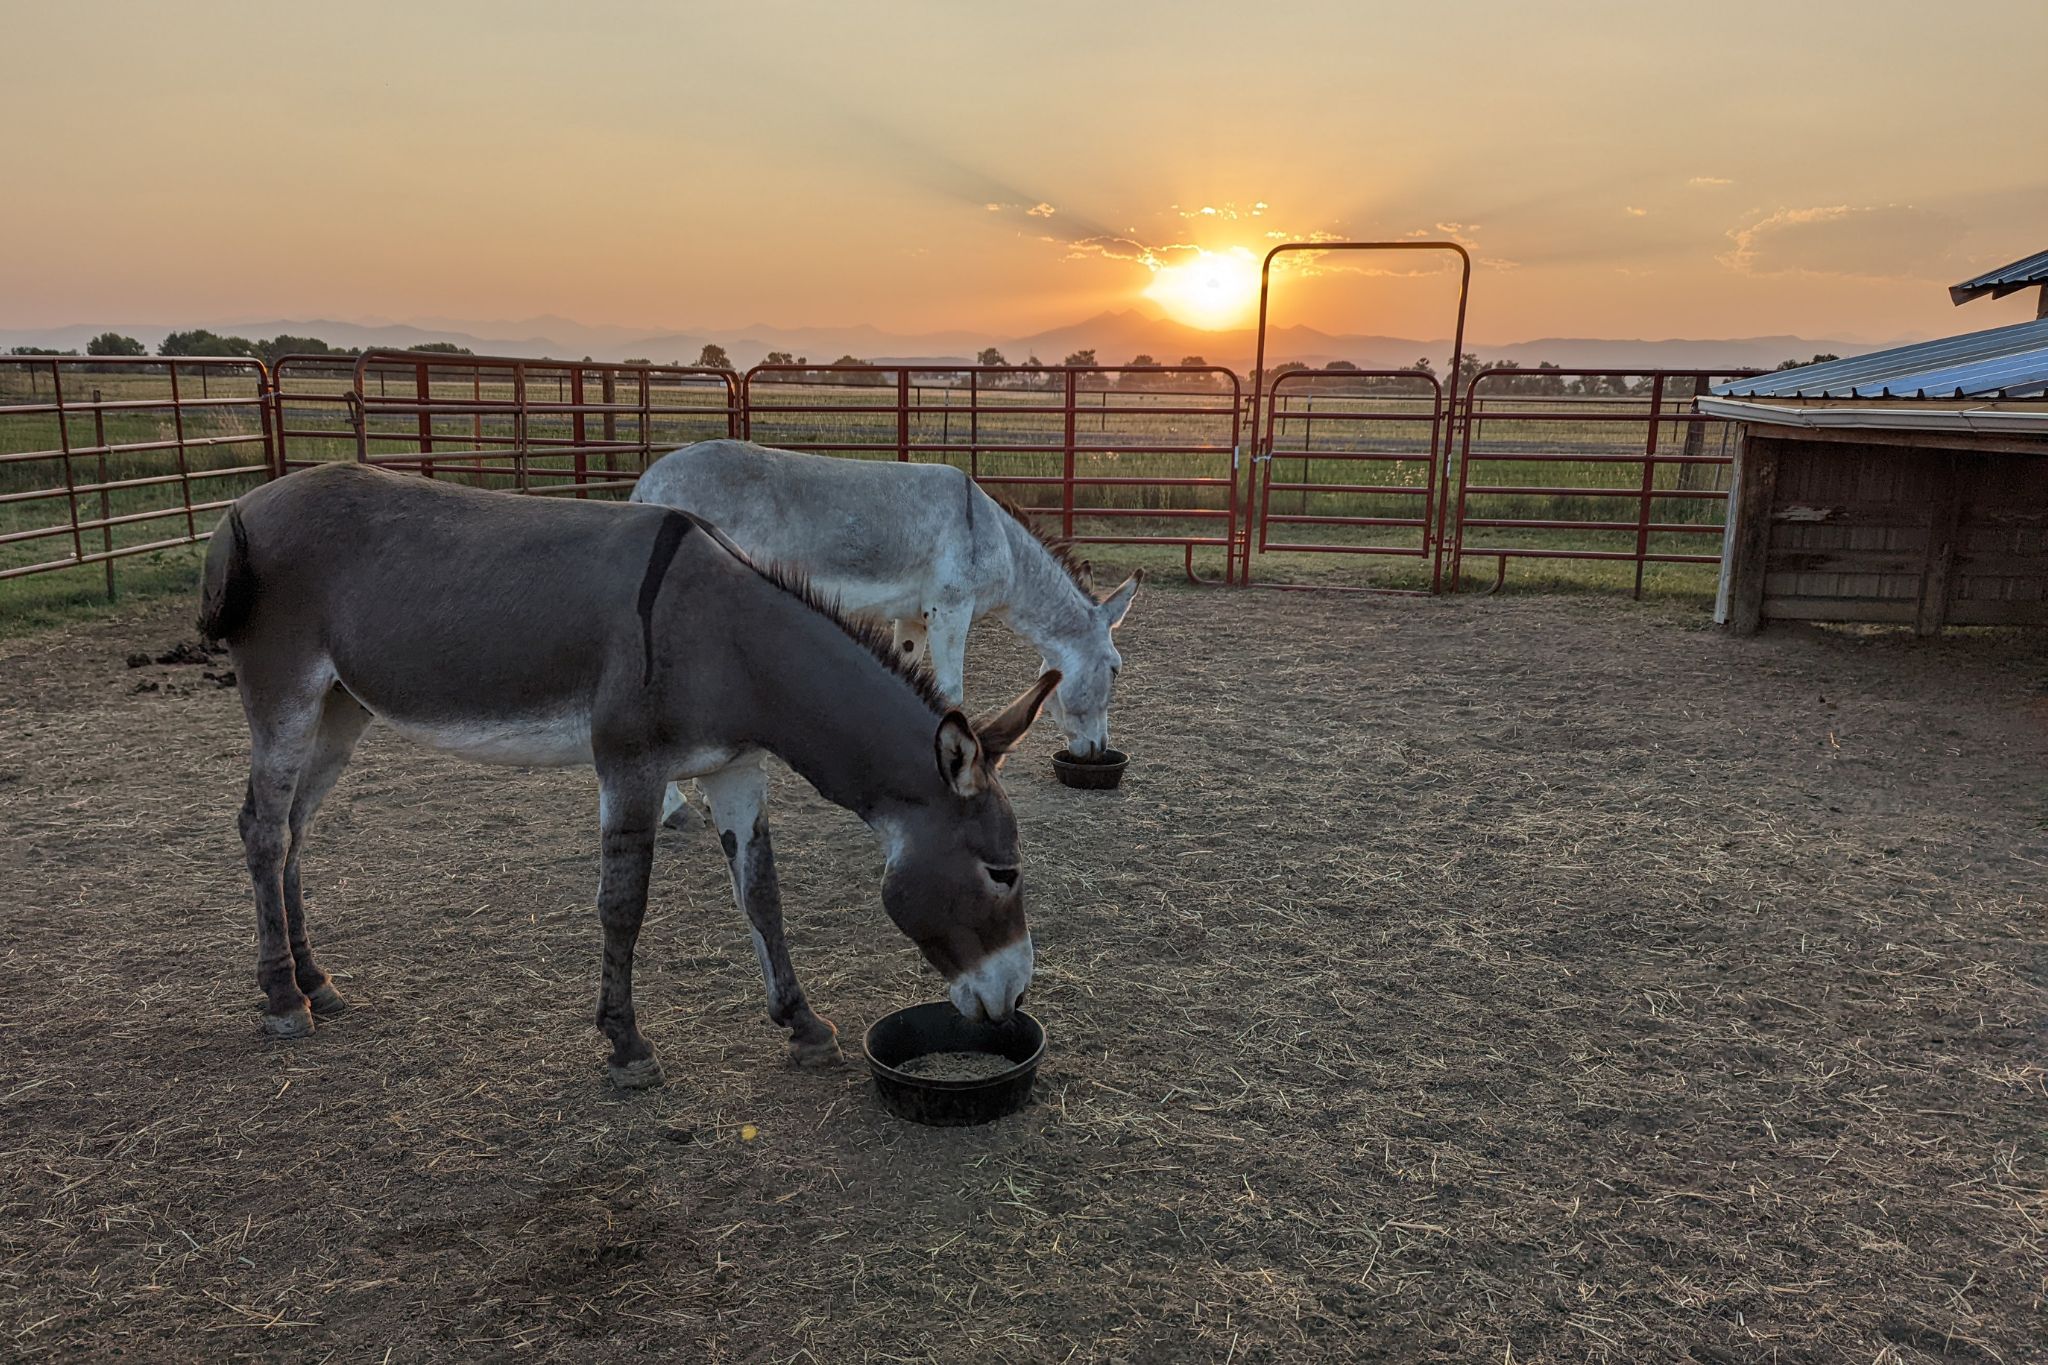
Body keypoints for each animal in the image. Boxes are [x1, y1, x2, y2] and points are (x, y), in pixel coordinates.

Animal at [197, 462, 1058, 1088]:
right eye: (1004, 872)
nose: (1014, 998)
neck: (726, 637)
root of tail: (246, 501)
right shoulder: (630, 764)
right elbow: (623, 905)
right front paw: (626, 1044)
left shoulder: (736, 767)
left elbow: (763, 894)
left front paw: (804, 1025)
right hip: (284, 692)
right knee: (262, 829)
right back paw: (283, 999)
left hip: (342, 707)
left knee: (294, 828)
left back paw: (316, 980)